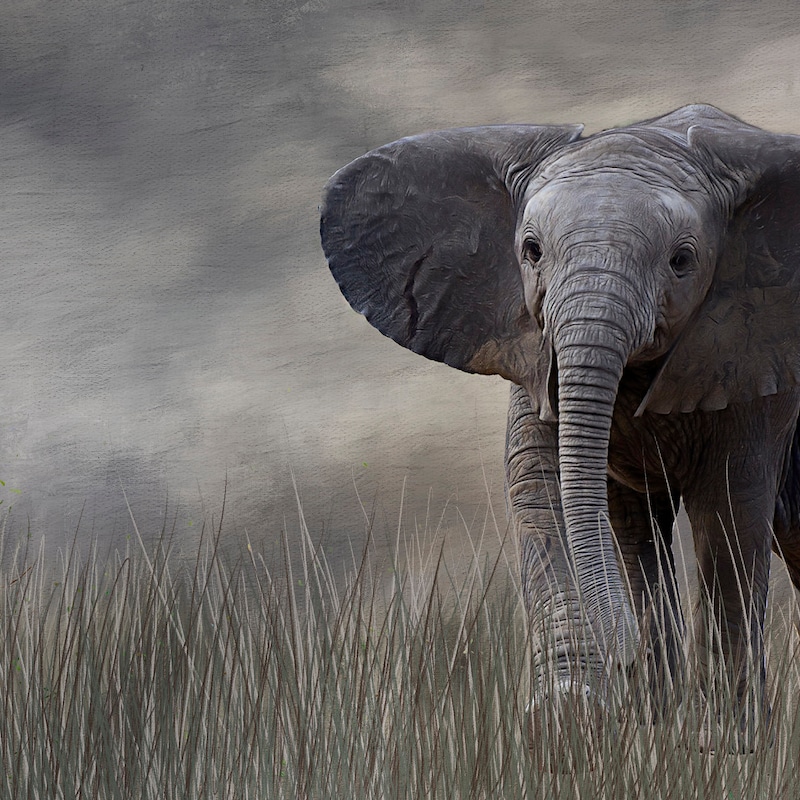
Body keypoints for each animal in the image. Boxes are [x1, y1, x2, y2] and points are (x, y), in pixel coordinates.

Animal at [319, 104, 800, 746]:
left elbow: (728, 514)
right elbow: (543, 493)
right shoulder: (533, 352)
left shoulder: (754, 354)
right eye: (530, 250)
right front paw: (572, 721)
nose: (621, 651)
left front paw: (724, 746)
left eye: (682, 261)